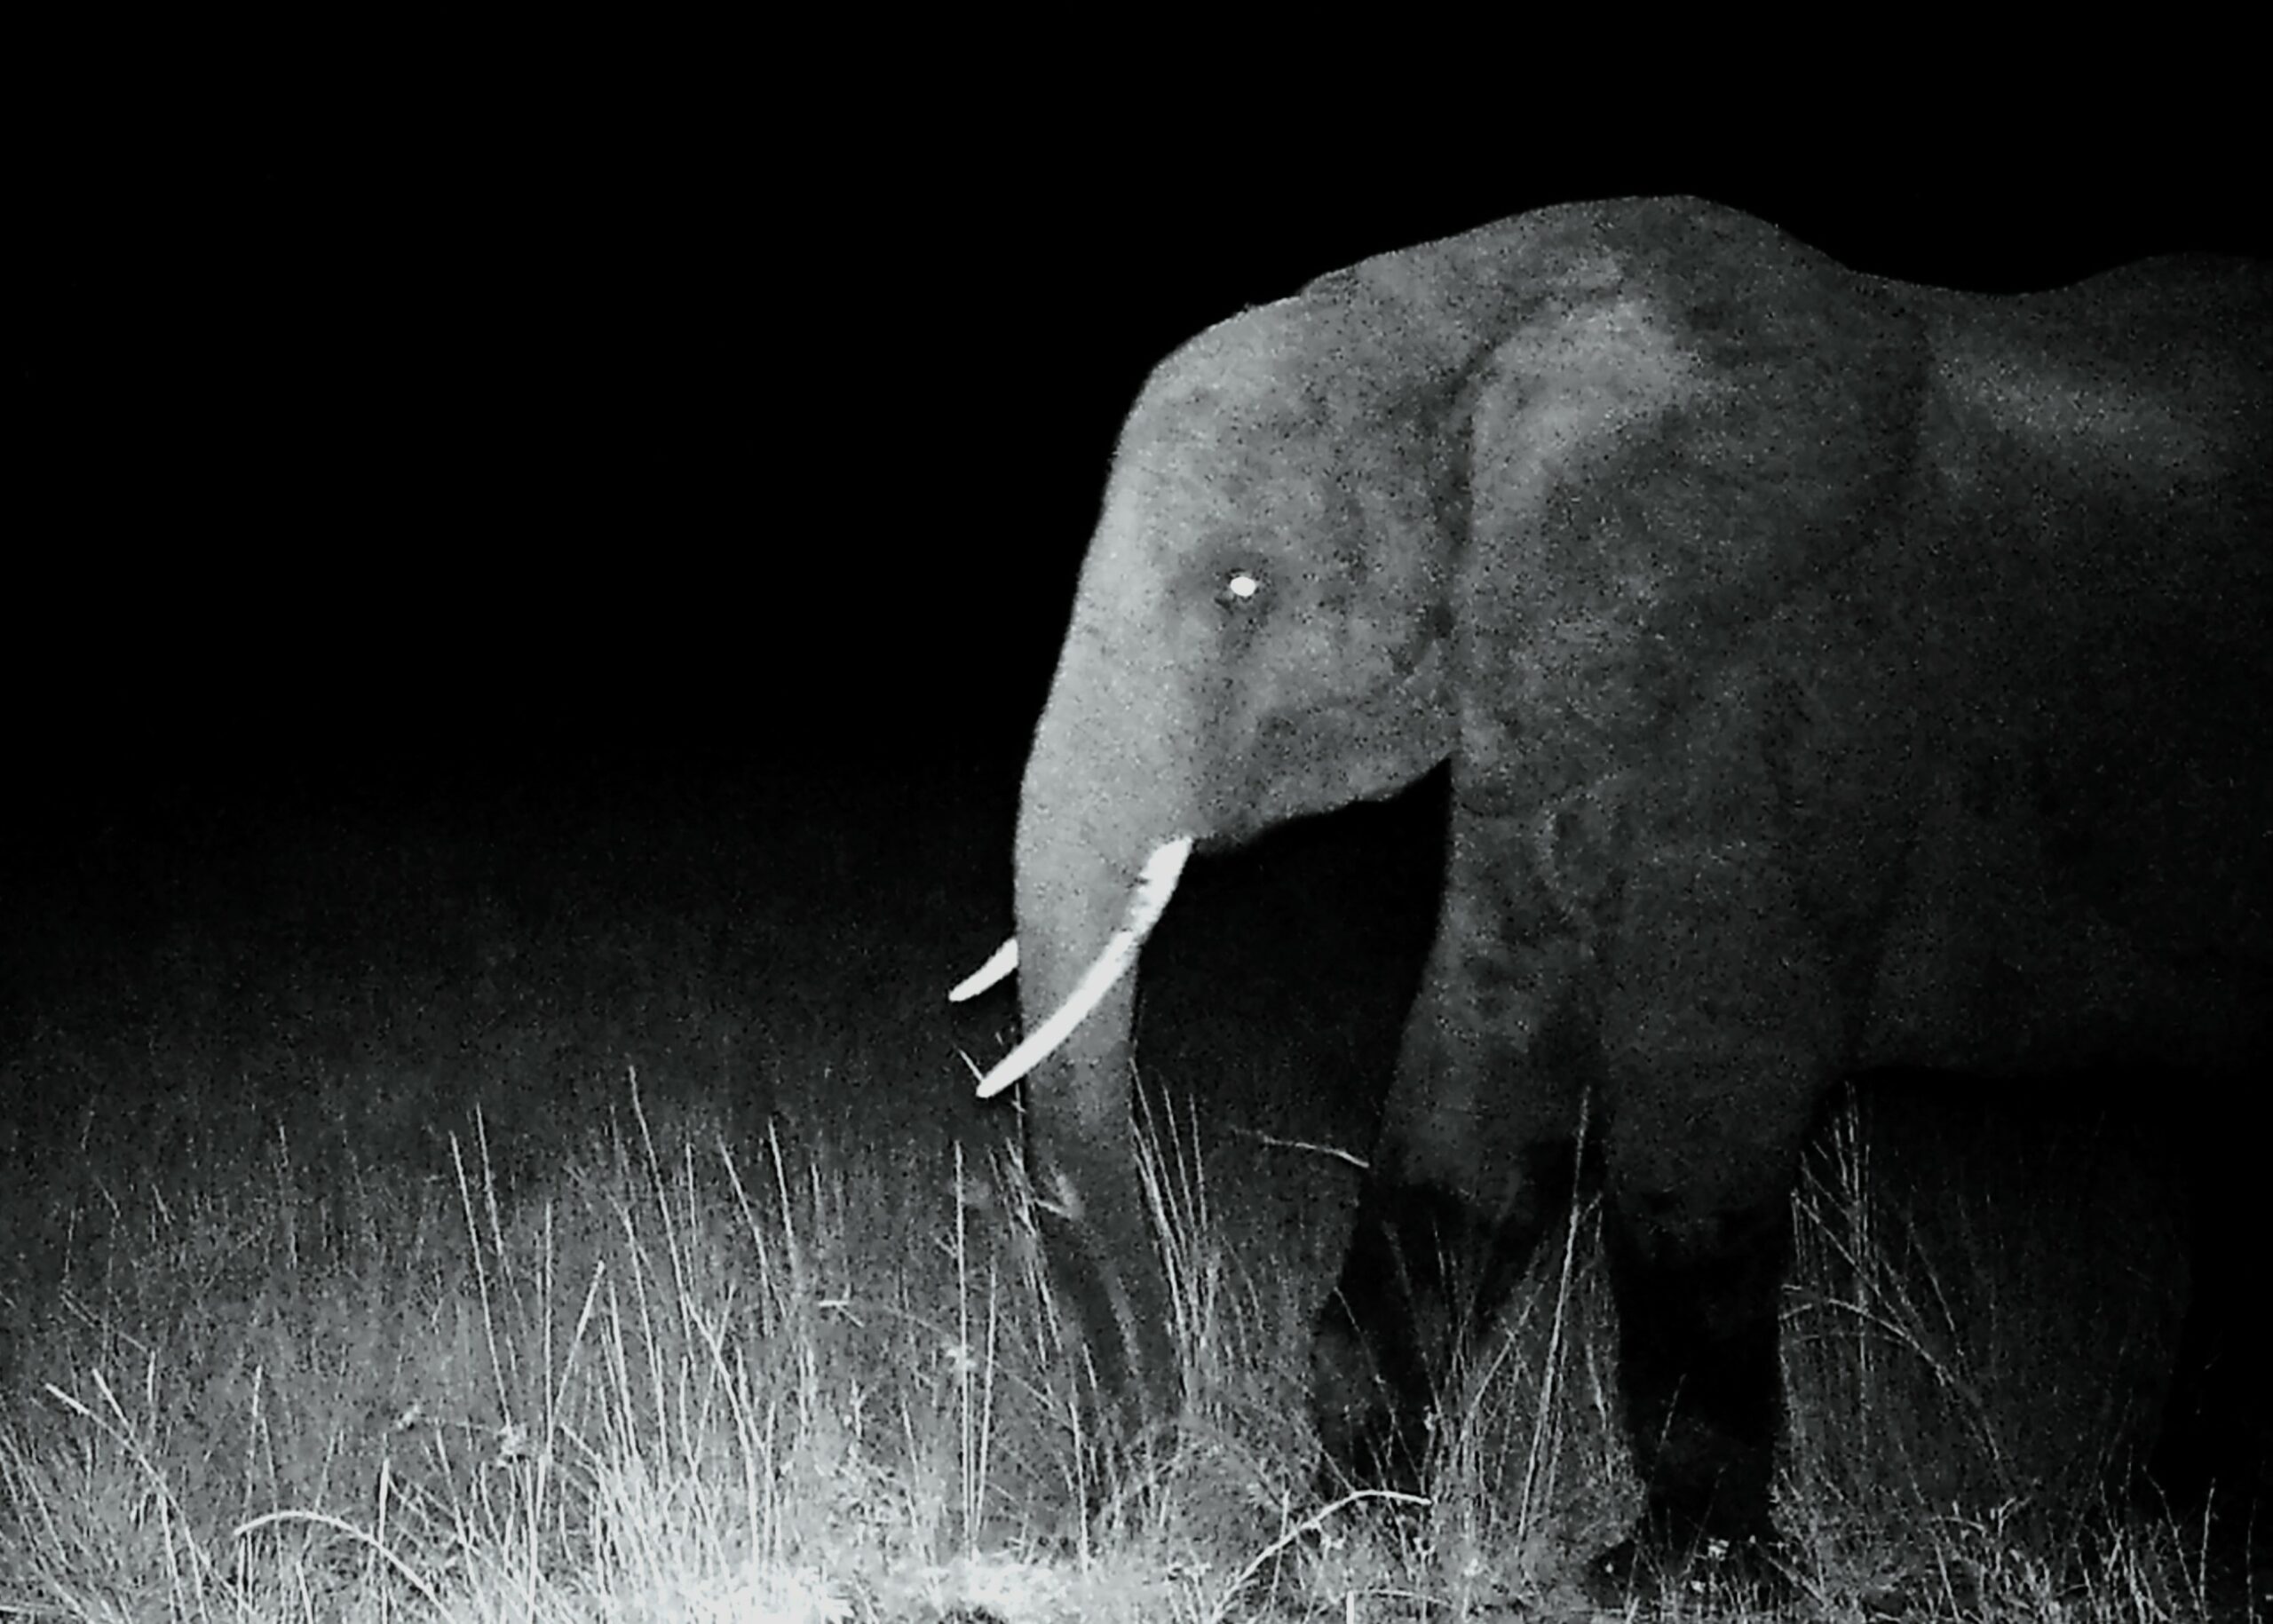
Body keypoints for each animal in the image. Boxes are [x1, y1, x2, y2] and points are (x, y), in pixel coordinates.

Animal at [952, 197, 2270, 1591]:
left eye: (1243, 588)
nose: (1131, 1493)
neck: (1477, 315)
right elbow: (1482, 1079)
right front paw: (1332, 1545)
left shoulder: (1788, 685)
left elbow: (1701, 1114)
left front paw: (1673, 1576)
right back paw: (2164, 1525)